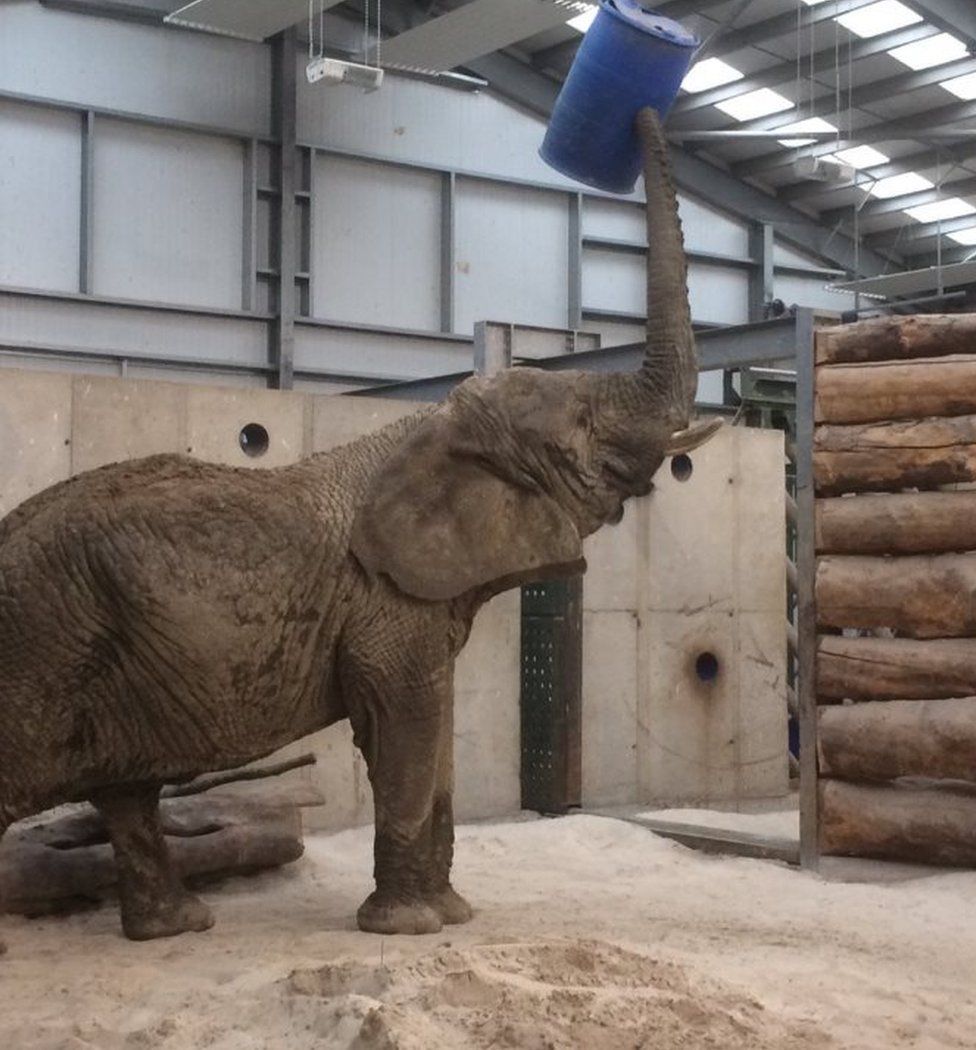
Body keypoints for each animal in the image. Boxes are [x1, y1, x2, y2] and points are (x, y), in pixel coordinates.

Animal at [0, 109, 719, 945]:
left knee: (127, 793)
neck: (425, 428)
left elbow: (435, 727)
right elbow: (405, 723)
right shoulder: (382, 603)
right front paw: (407, 928)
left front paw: (451, 915)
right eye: (577, 423)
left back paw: (178, 928)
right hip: (41, 641)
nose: (641, 110)